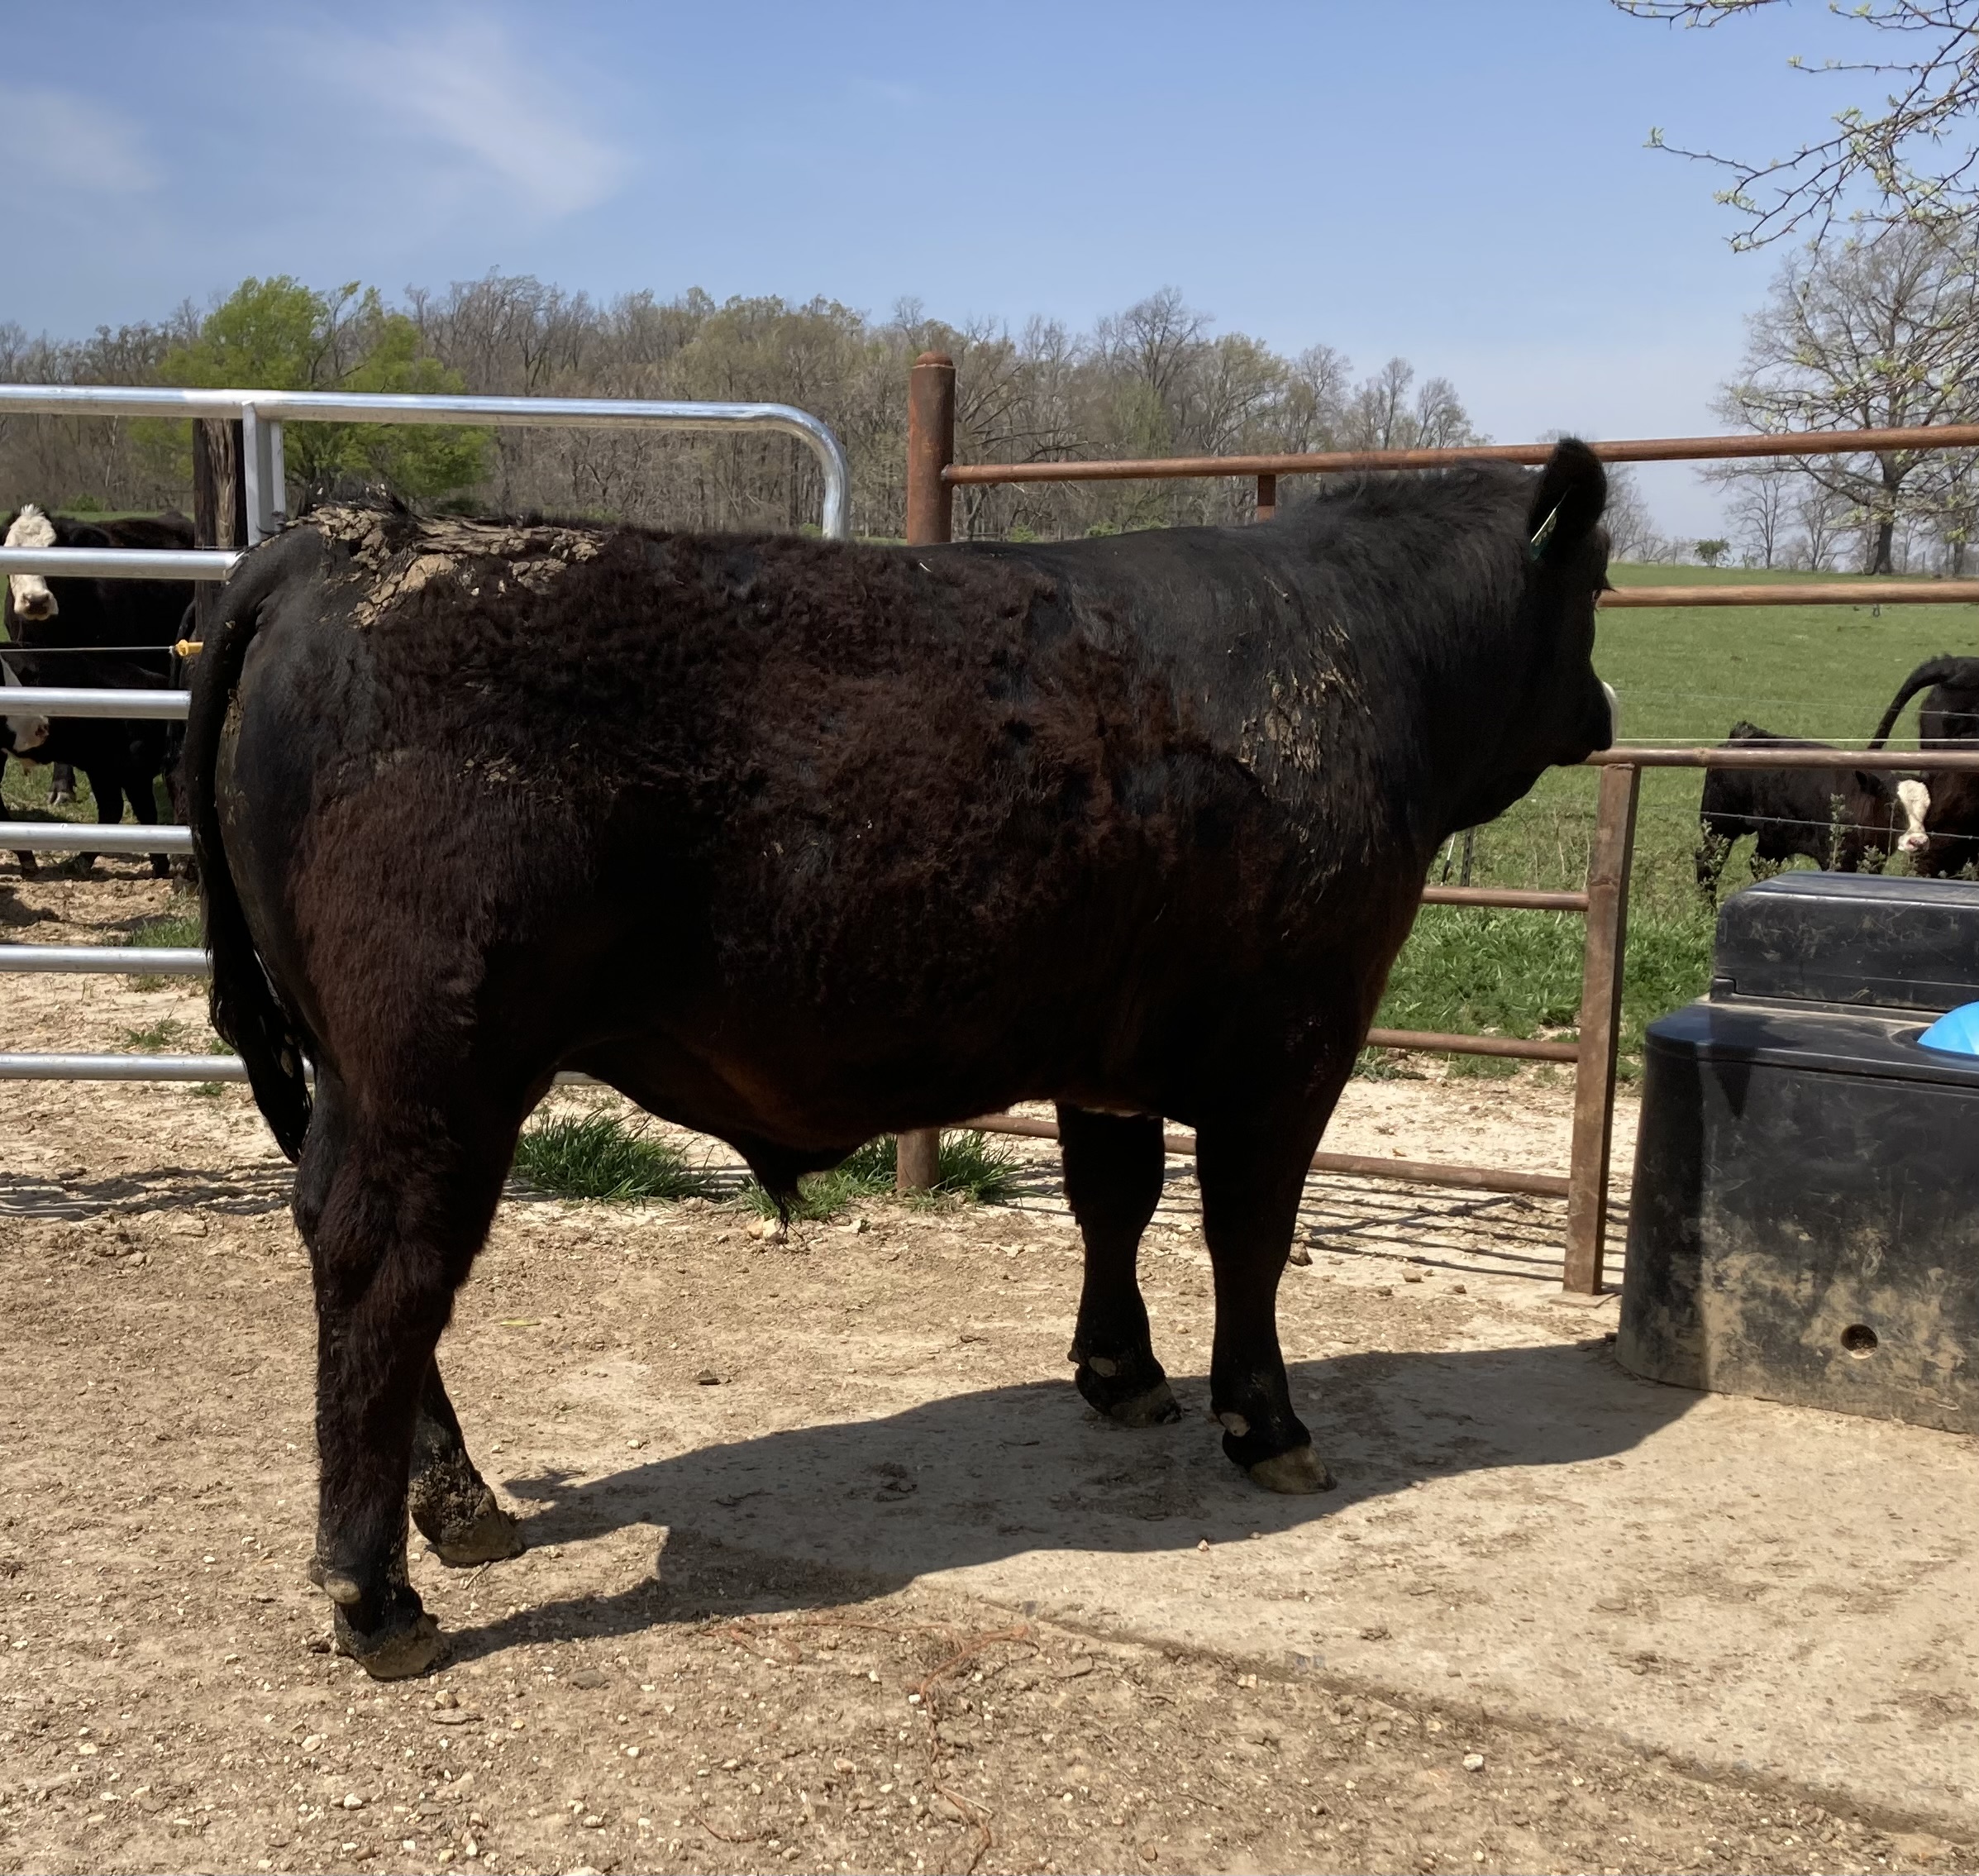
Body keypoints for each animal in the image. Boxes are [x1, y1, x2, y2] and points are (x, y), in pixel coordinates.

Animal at [184, 442, 1618, 1679]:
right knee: (385, 1263)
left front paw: (1121, 1374)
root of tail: (344, 538)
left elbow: (1113, 1200)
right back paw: (374, 1594)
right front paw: (1263, 1422)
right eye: (1599, 588)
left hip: (359, 1075)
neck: (1352, 648)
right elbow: (1246, 1237)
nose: (1605, 713)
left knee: (345, 1240)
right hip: (434, 1069)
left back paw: (458, 1505)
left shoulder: (1104, 1039)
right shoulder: (1295, 1041)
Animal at [1695, 720, 1930, 901]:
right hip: (1719, 824)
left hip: (1774, 837)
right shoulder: (1835, 857)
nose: (1918, 841)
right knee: (1708, 862)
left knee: (1760, 863)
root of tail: (1742, 737)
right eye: (1893, 806)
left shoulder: (1874, 860)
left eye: (1927, 807)